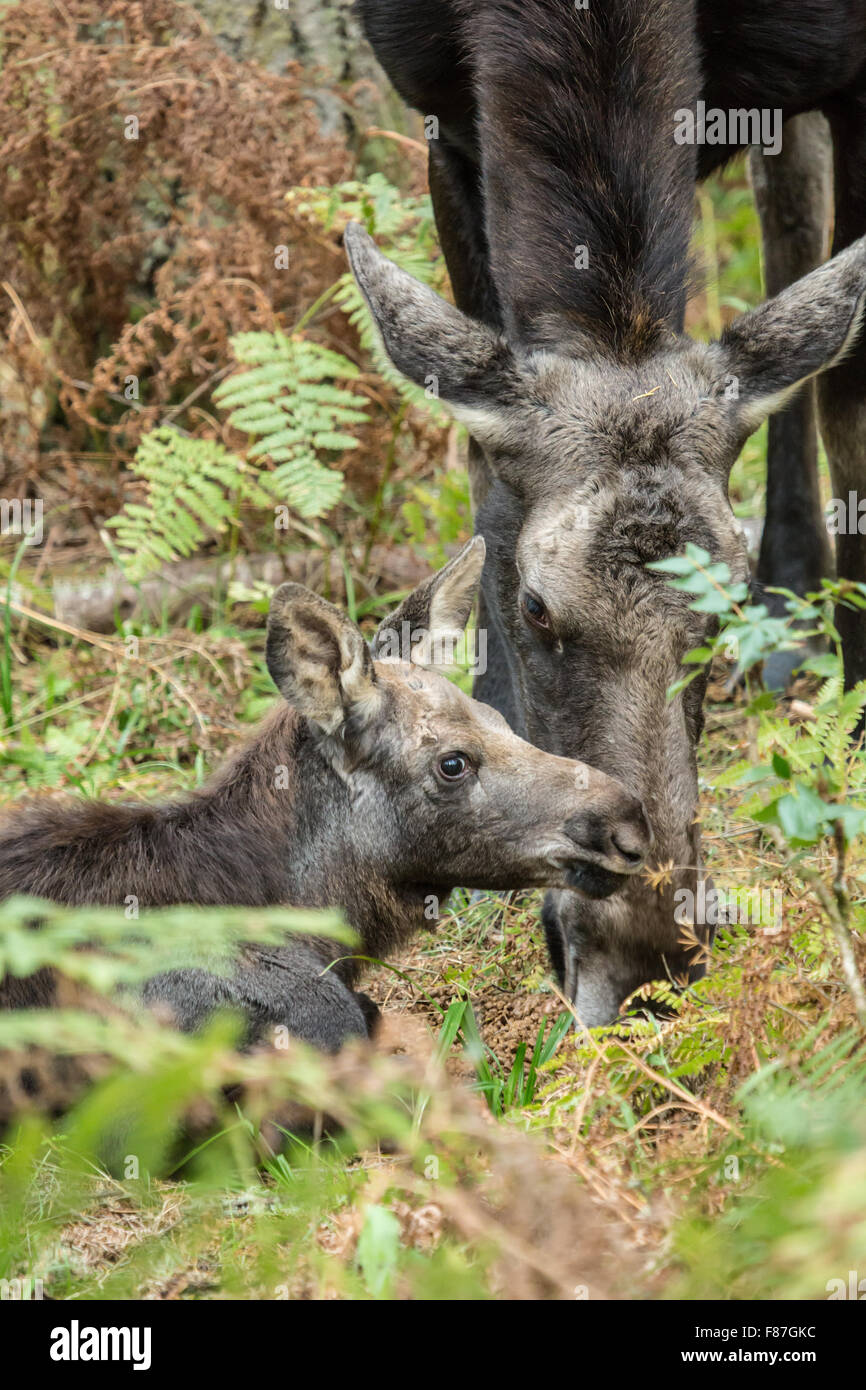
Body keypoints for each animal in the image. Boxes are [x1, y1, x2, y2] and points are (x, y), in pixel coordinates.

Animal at [350, 0, 866, 1024]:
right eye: (537, 606)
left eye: (723, 607)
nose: (647, 961)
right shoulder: (441, 105)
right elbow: (484, 467)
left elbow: (851, 403)